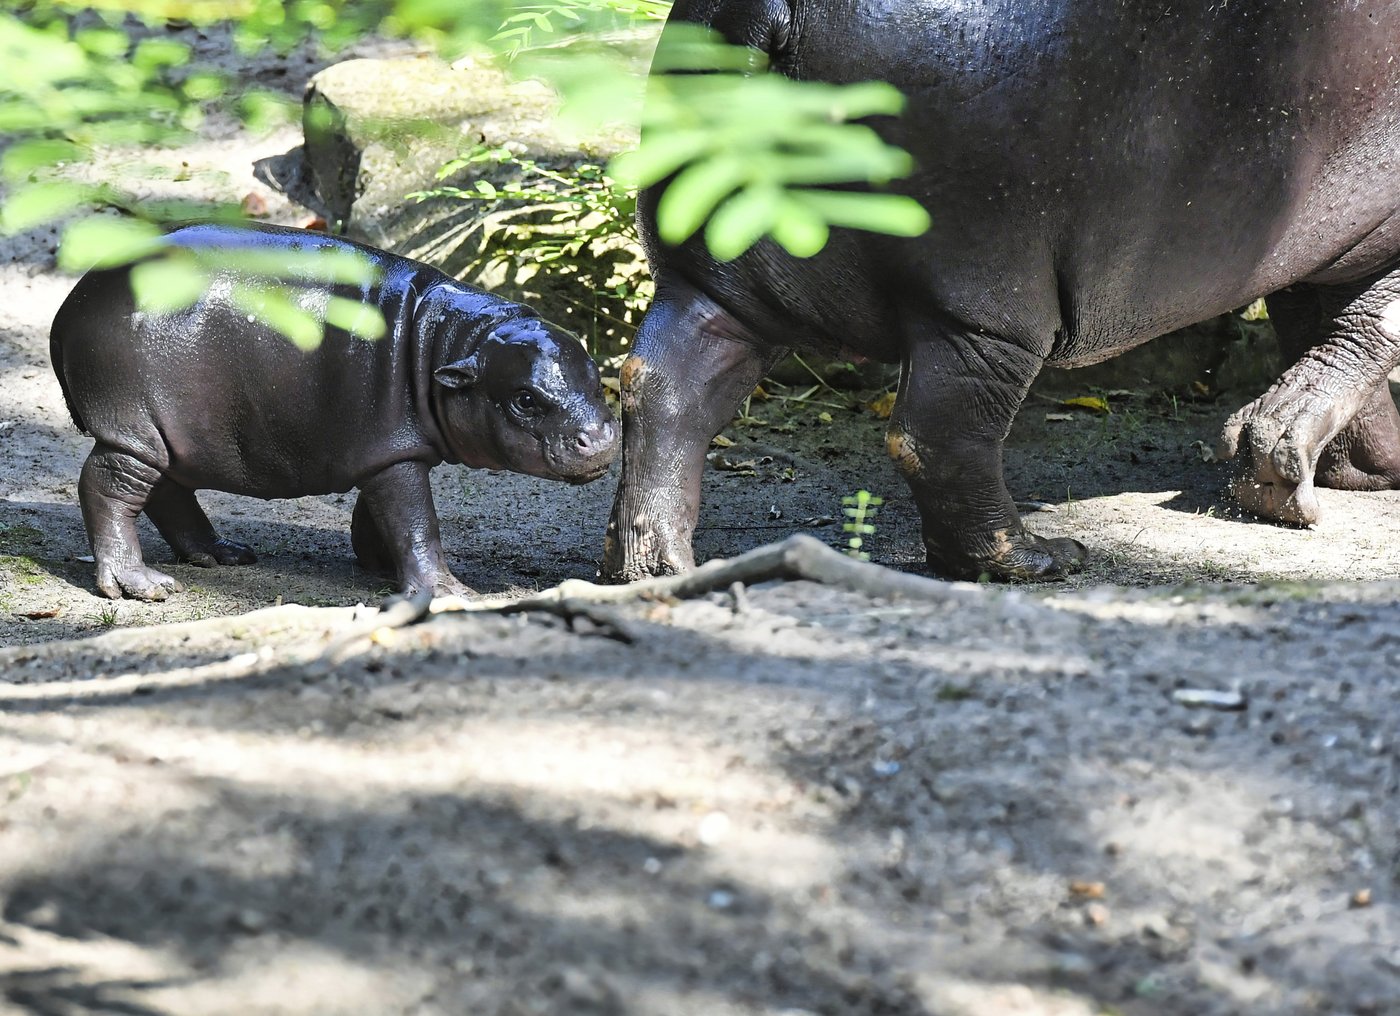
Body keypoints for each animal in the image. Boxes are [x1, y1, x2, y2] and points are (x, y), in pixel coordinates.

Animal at [51, 222, 617, 600]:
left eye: (597, 374)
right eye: (525, 399)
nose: (601, 436)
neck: (450, 341)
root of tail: (71, 303)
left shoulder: (390, 450)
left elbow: (384, 516)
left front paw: (381, 567)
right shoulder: (395, 455)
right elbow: (418, 523)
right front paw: (451, 592)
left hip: (171, 434)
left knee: (168, 490)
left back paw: (222, 554)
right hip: (134, 429)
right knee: (109, 486)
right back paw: (140, 585)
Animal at [602, 0, 1400, 582]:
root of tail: (773, 10)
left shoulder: (1325, 245)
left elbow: (1328, 334)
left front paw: (1348, 466)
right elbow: (1369, 330)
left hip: (710, 285)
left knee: (664, 387)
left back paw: (652, 567)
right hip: (986, 314)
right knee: (936, 434)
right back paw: (1037, 559)